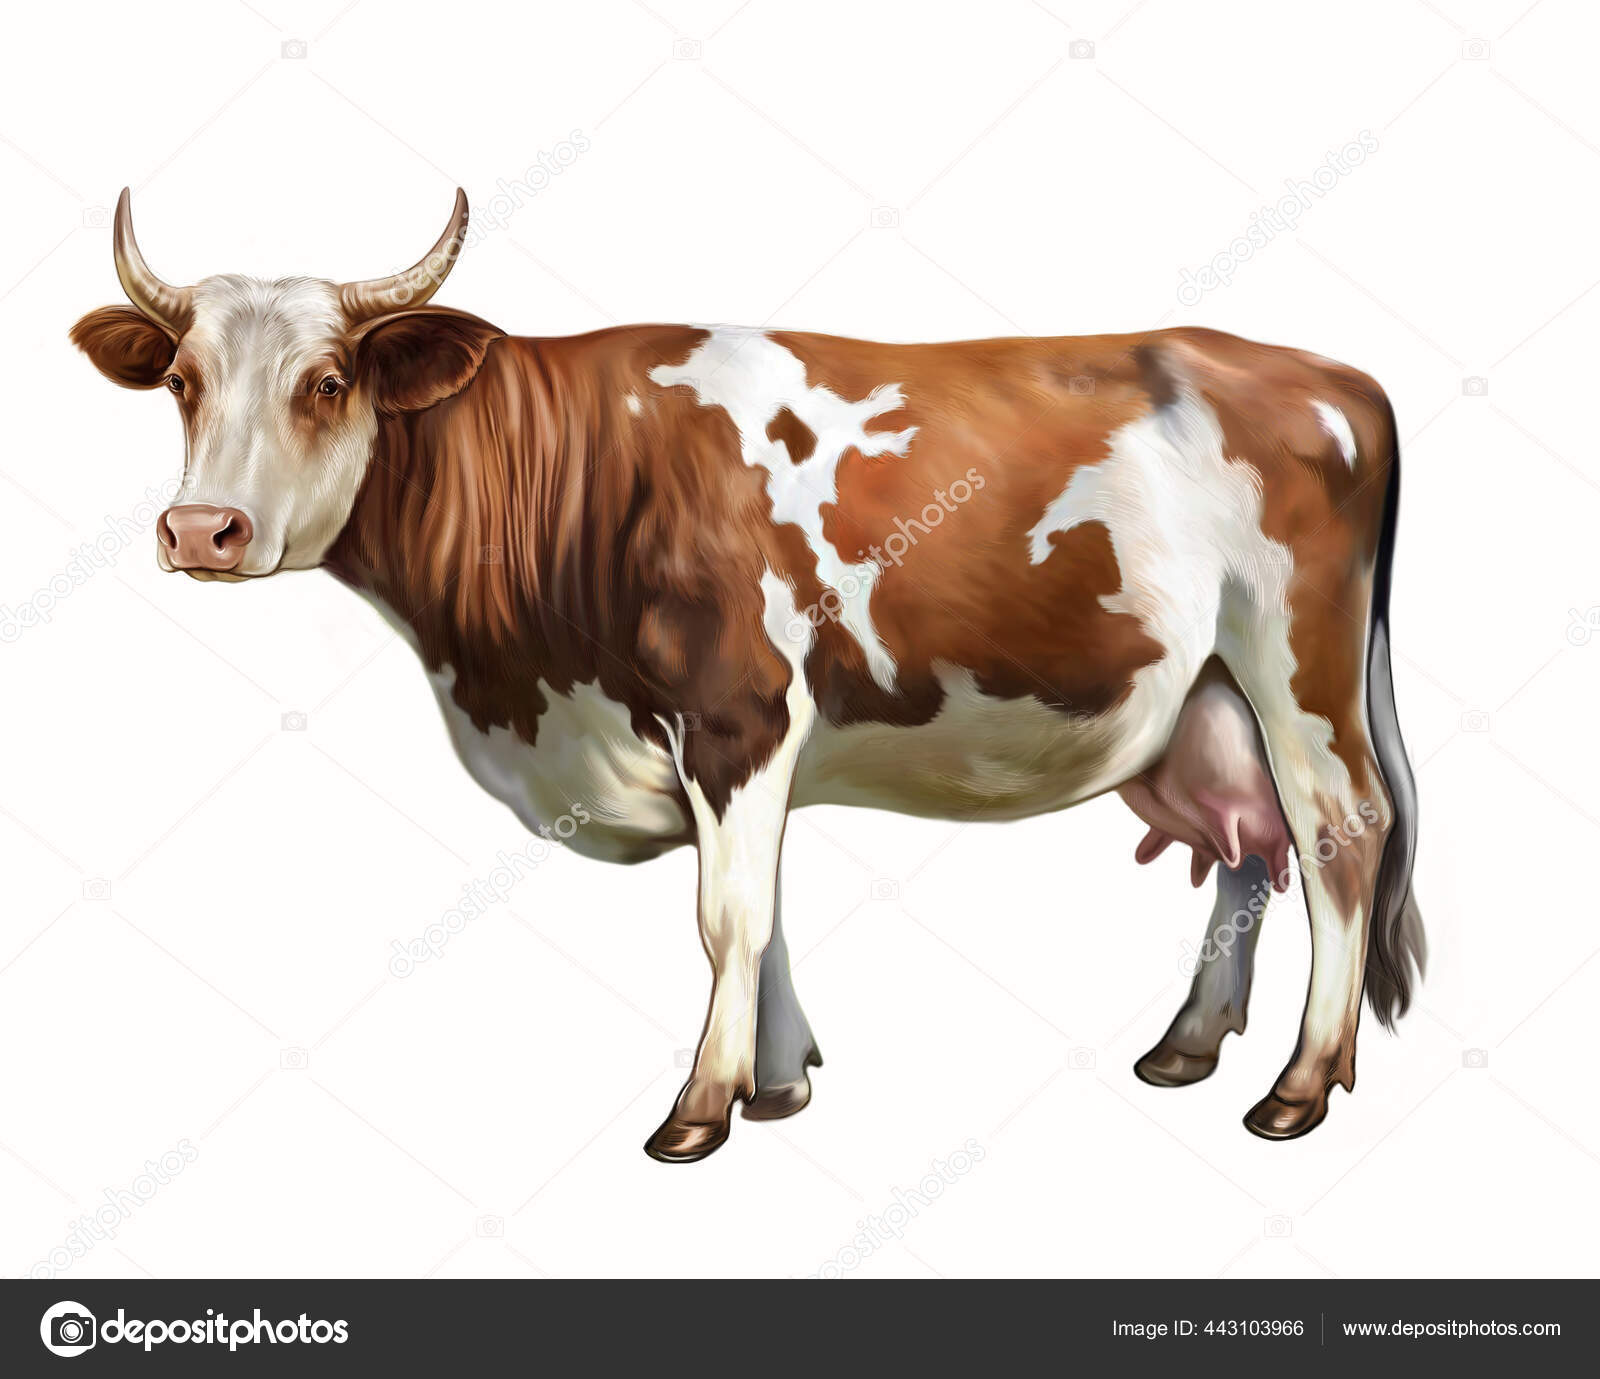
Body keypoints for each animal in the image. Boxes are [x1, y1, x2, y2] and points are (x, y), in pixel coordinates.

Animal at [72, 189, 1423, 1163]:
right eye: (183, 382)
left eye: (329, 382)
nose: (202, 531)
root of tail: (1325, 373)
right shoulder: (731, 742)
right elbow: (763, 908)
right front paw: (777, 1086)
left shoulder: (735, 711)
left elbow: (726, 912)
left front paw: (700, 1107)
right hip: (1208, 693)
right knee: (1249, 843)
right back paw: (1188, 1046)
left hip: (1295, 665)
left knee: (1340, 835)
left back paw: (1298, 1086)